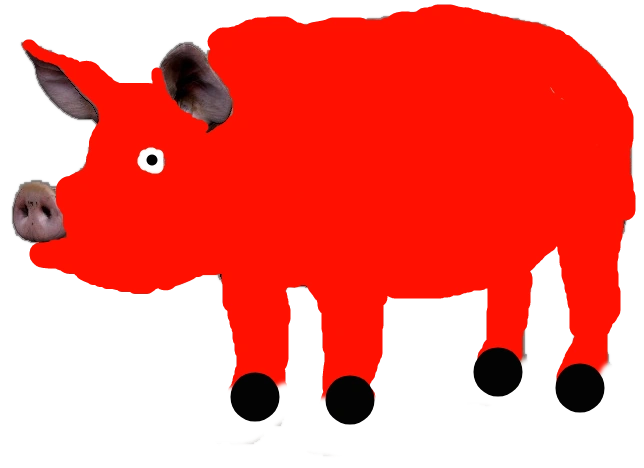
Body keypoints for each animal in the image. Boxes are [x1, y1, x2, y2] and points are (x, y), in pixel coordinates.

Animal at [18, 5, 635, 403]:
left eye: (152, 159)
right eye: (91, 152)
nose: (30, 195)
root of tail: (597, 67)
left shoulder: (354, 256)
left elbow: (349, 328)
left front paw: (345, 403)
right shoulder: (247, 266)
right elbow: (257, 327)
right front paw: (250, 398)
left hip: (601, 204)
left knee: (593, 281)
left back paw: (578, 382)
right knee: (514, 274)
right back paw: (492, 376)